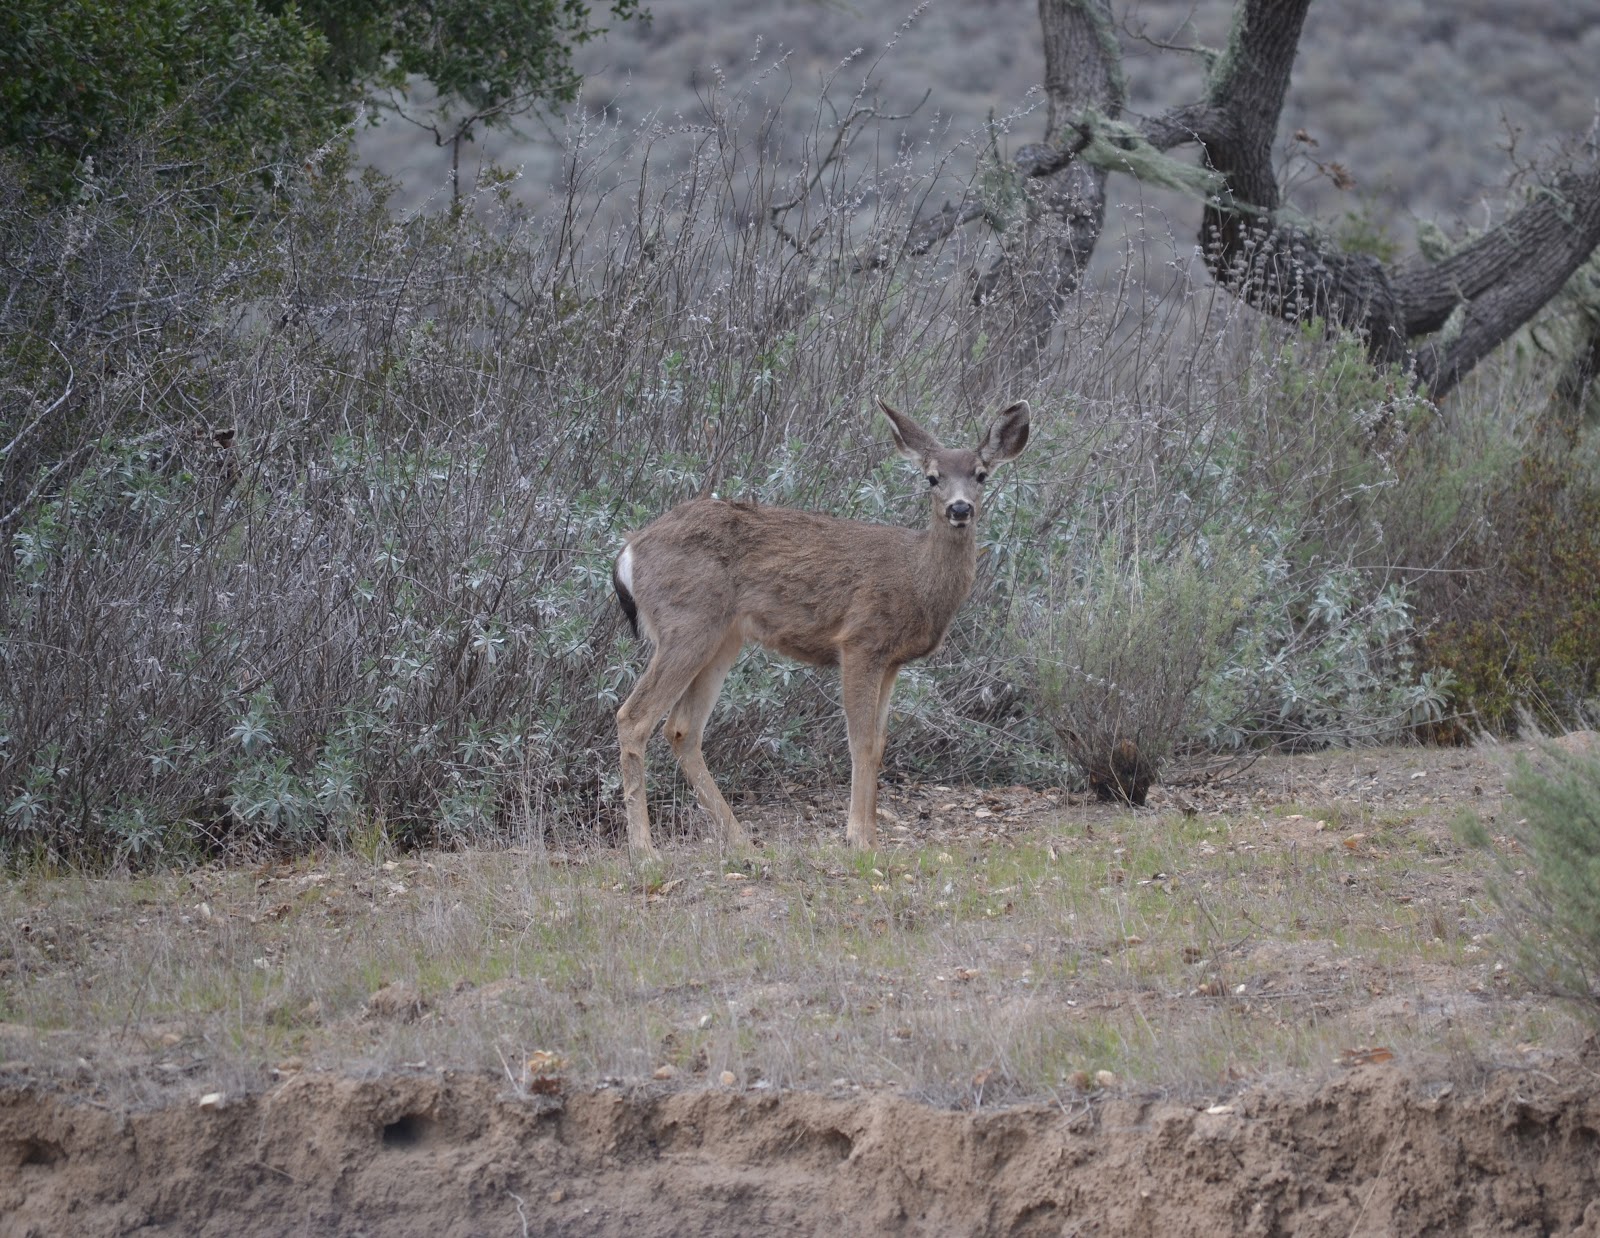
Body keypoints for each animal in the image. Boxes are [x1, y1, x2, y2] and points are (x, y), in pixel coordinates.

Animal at [610, 397, 1031, 858]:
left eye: (981, 474)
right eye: (932, 477)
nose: (960, 508)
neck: (915, 578)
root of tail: (627, 551)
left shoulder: (892, 661)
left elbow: (879, 744)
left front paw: (871, 836)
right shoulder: (861, 639)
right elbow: (860, 741)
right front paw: (858, 838)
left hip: (722, 636)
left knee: (682, 729)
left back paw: (741, 841)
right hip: (686, 622)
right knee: (634, 717)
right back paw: (644, 851)